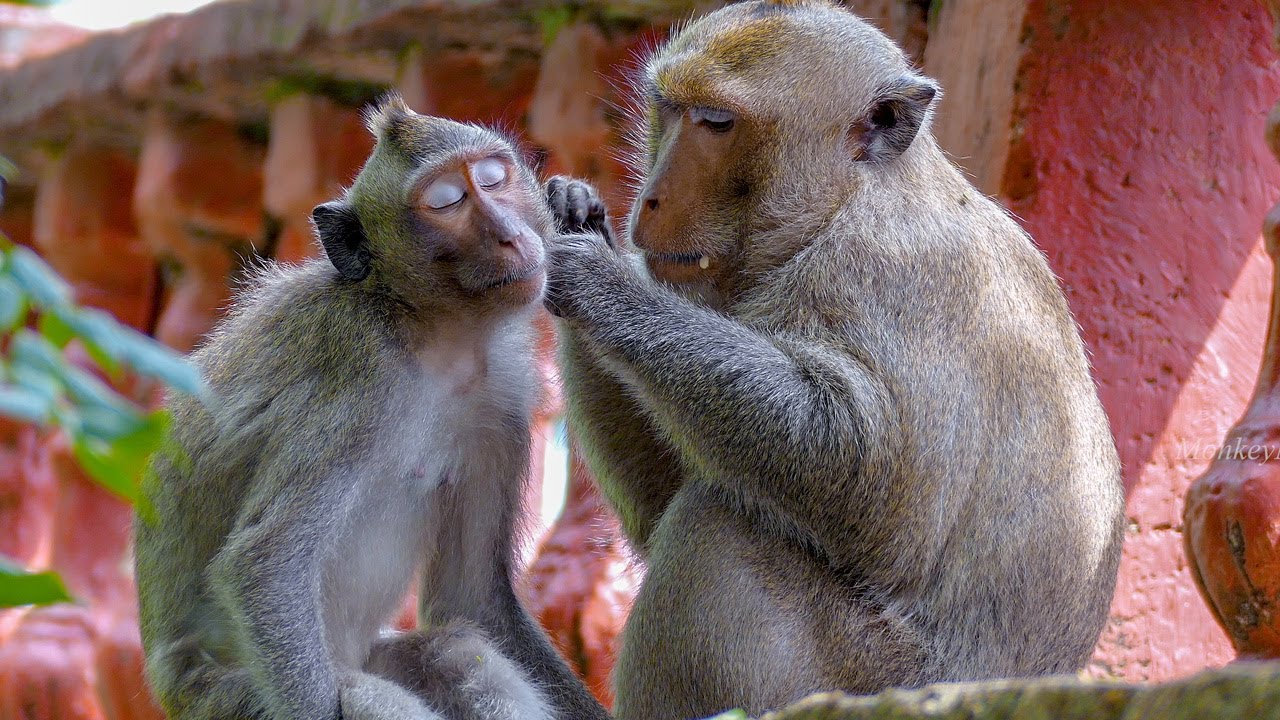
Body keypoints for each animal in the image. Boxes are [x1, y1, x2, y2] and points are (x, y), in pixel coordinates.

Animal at [133, 96, 610, 720]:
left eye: (493, 178)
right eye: (447, 202)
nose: (510, 235)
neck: (427, 331)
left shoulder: (500, 396)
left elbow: (472, 600)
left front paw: (572, 202)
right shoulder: (359, 380)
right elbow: (264, 563)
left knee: (456, 651)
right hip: (224, 699)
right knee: (358, 692)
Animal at [542, 1, 1126, 718]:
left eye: (715, 123)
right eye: (668, 110)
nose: (651, 198)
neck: (845, 201)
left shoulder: (887, 274)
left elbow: (861, 467)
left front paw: (600, 280)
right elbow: (664, 500)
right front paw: (575, 216)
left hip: (874, 673)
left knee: (719, 529)